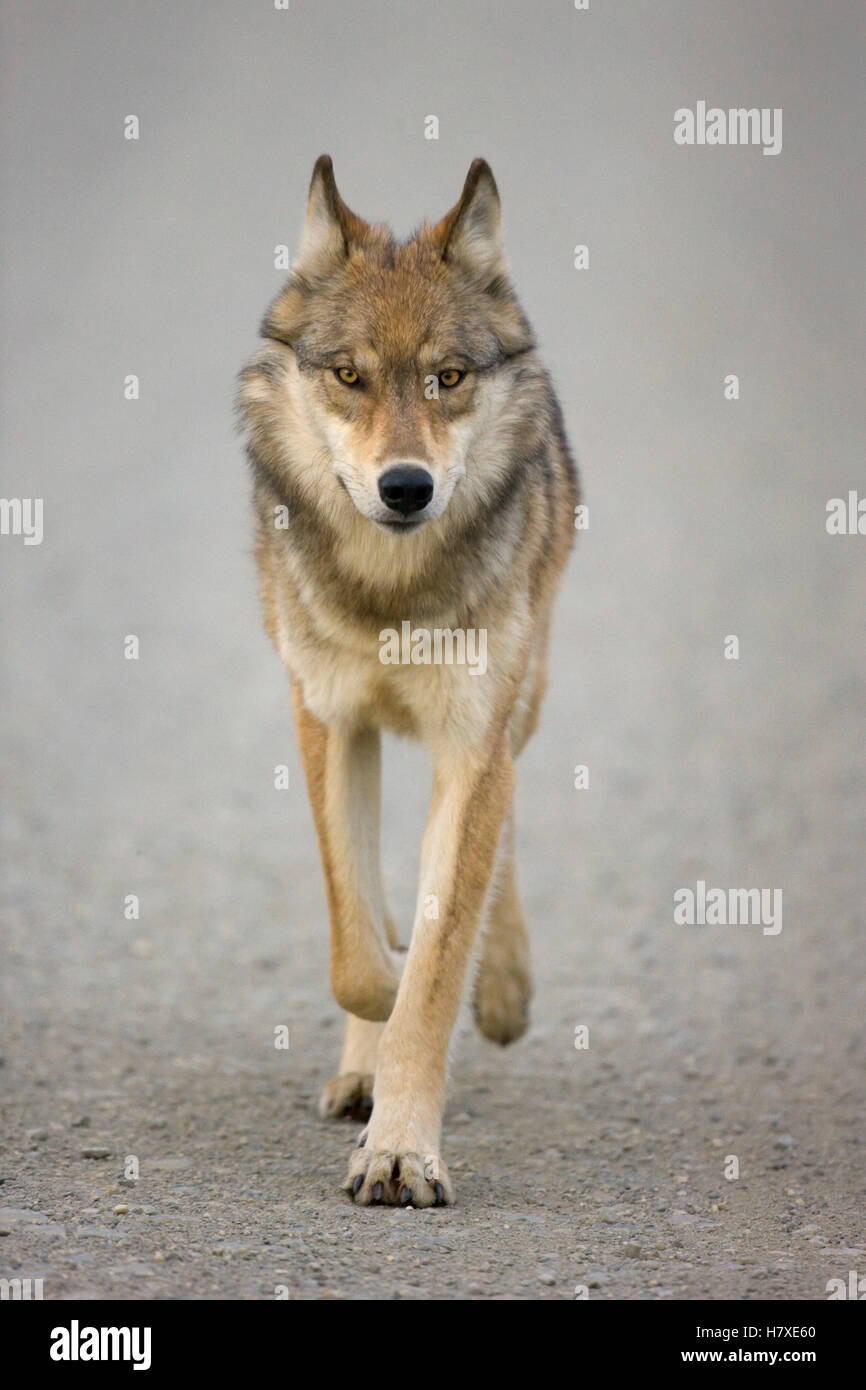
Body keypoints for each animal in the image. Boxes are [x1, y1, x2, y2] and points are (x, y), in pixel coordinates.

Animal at [237, 156, 578, 1206]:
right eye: (349, 375)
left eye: (448, 378)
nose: (405, 487)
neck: (392, 592)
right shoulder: (327, 722)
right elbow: (358, 950)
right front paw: (375, 1034)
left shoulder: (470, 748)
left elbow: (434, 967)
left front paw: (400, 1150)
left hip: (521, 698)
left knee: (504, 823)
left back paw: (502, 988)